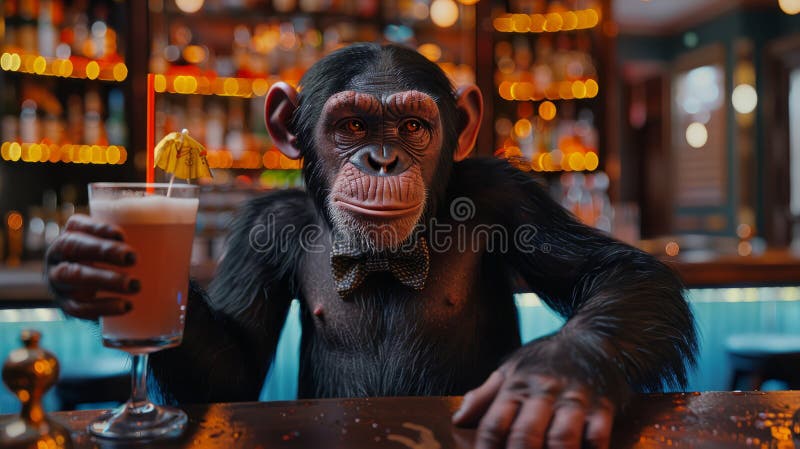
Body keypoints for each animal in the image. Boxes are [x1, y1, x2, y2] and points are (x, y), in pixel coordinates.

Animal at [47, 43, 697, 449]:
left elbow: (614, 272)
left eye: (412, 127)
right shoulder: (262, 228)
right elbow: (232, 373)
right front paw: (95, 263)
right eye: (353, 126)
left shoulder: (507, 195)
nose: (381, 161)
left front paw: (552, 377)